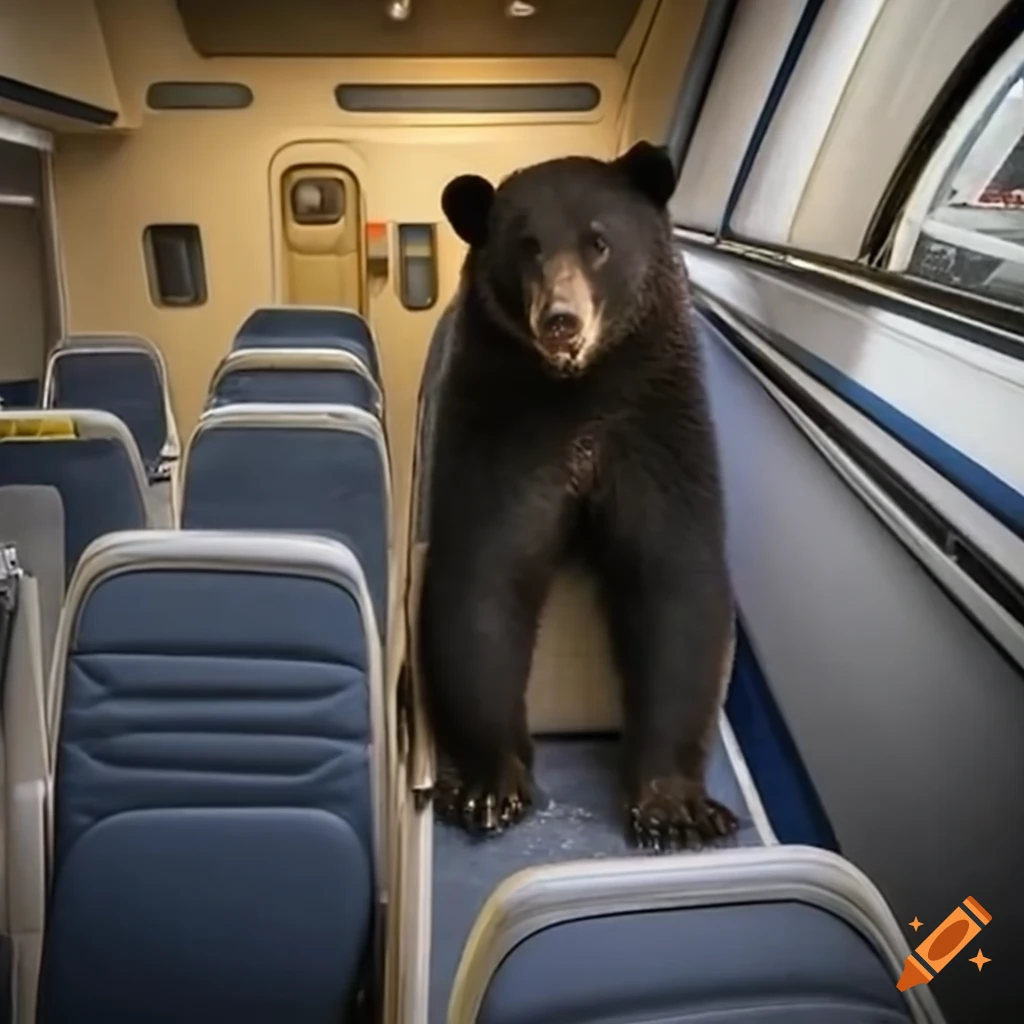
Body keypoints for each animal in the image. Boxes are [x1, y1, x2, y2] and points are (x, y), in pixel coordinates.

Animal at [418, 140, 738, 851]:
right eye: (527, 246)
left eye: (599, 242)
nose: (560, 321)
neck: (580, 391)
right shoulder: (505, 422)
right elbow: (484, 570)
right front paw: (488, 787)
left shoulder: (657, 426)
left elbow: (676, 578)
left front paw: (674, 806)